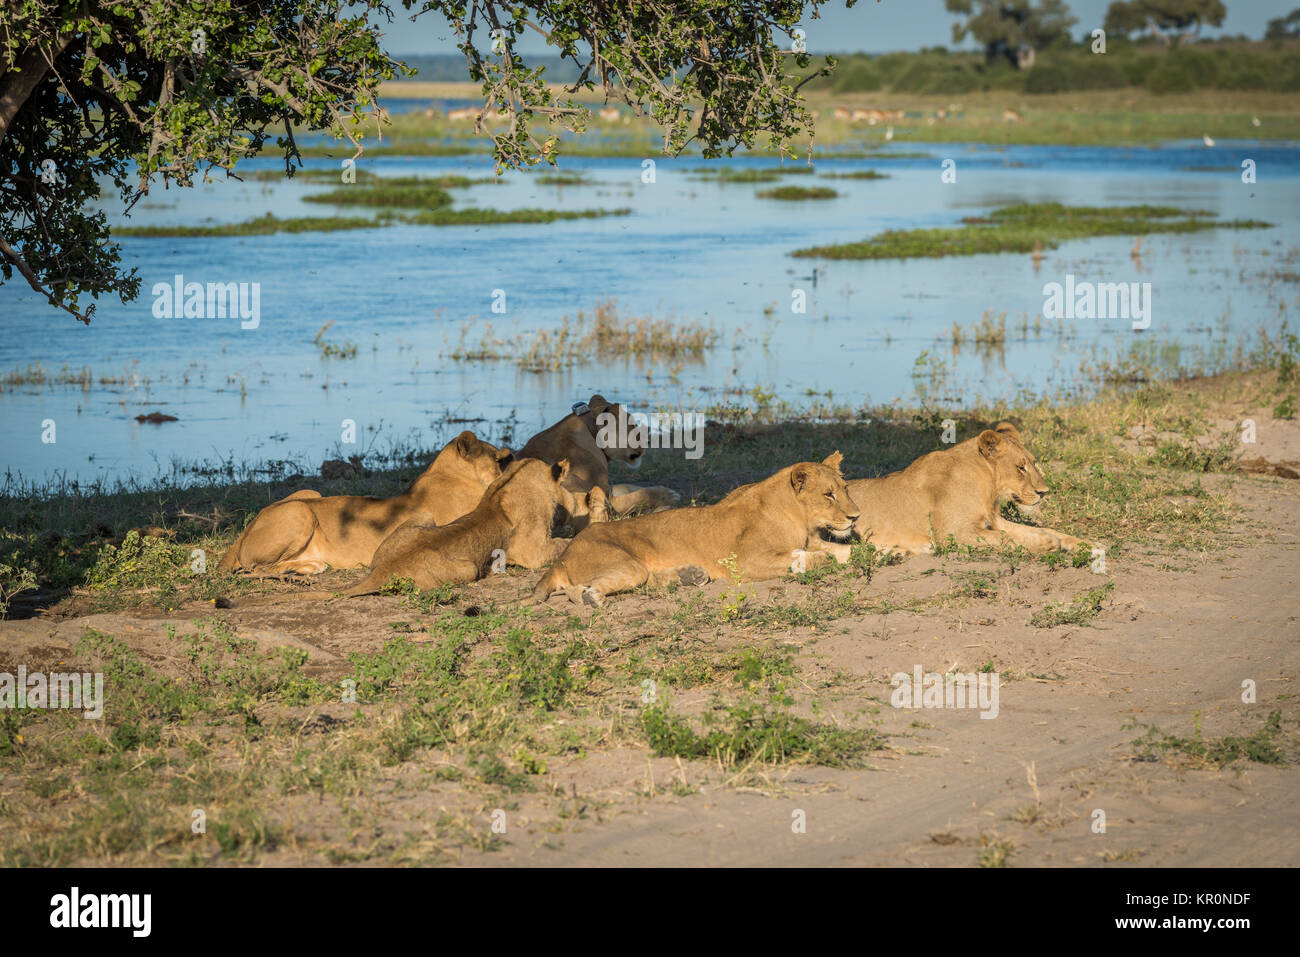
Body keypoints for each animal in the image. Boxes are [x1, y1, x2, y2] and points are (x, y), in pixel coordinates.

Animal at [217, 430, 512, 576]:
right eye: (499, 459)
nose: (512, 459)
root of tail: (242, 534)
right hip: (299, 510)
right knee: (256, 568)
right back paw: (312, 567)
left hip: (309, 492)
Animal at [517, 394, 680, 530]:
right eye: (633, 426)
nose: (648, 441)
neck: (591, 432)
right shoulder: (608, 499)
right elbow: (639, 495)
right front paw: (669, 495)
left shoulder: (606, 488)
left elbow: (629, 486)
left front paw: (668, 490)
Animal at [533, 452, 859, 606]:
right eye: (828, 495)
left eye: (844, 489)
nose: (855, 517)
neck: (800, 519)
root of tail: (565, 553)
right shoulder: (744, 562)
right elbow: (812, 557)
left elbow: (843, 550)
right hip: (625, 565)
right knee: (575, 590)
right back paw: (592, 597)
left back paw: (690, 575)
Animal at [845, 422, 1086, 555]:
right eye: (1020, 467)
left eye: (1034, 463)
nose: (1044, 492)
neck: (988, 487)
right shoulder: (955, 533)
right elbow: (1005, 539)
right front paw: (1046, 543)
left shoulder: (994, 520)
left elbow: (1047, 530)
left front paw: (1085, 544)